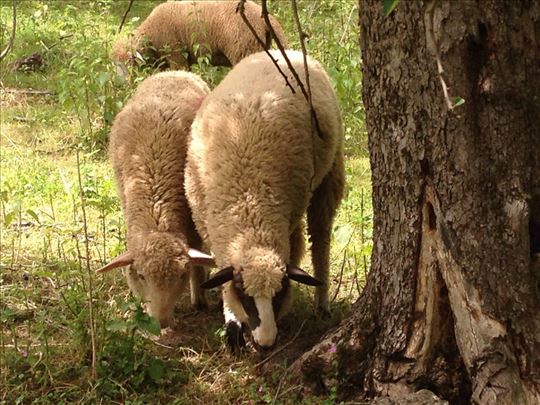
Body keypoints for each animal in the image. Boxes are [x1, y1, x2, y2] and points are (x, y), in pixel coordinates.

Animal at [98, 69, 216, 328]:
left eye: (180, 275)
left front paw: (199, 298)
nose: (161, 322)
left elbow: (197, 266)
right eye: (141, 275)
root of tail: (173, 71)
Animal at [185, 48, 346, 350]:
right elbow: (223, 278)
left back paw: (322, 304)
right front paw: (232, 323)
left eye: (279, 293)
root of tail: (289, 51)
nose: (266, 342)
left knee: (320, 241)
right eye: (245, 294)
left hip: (330, 175)